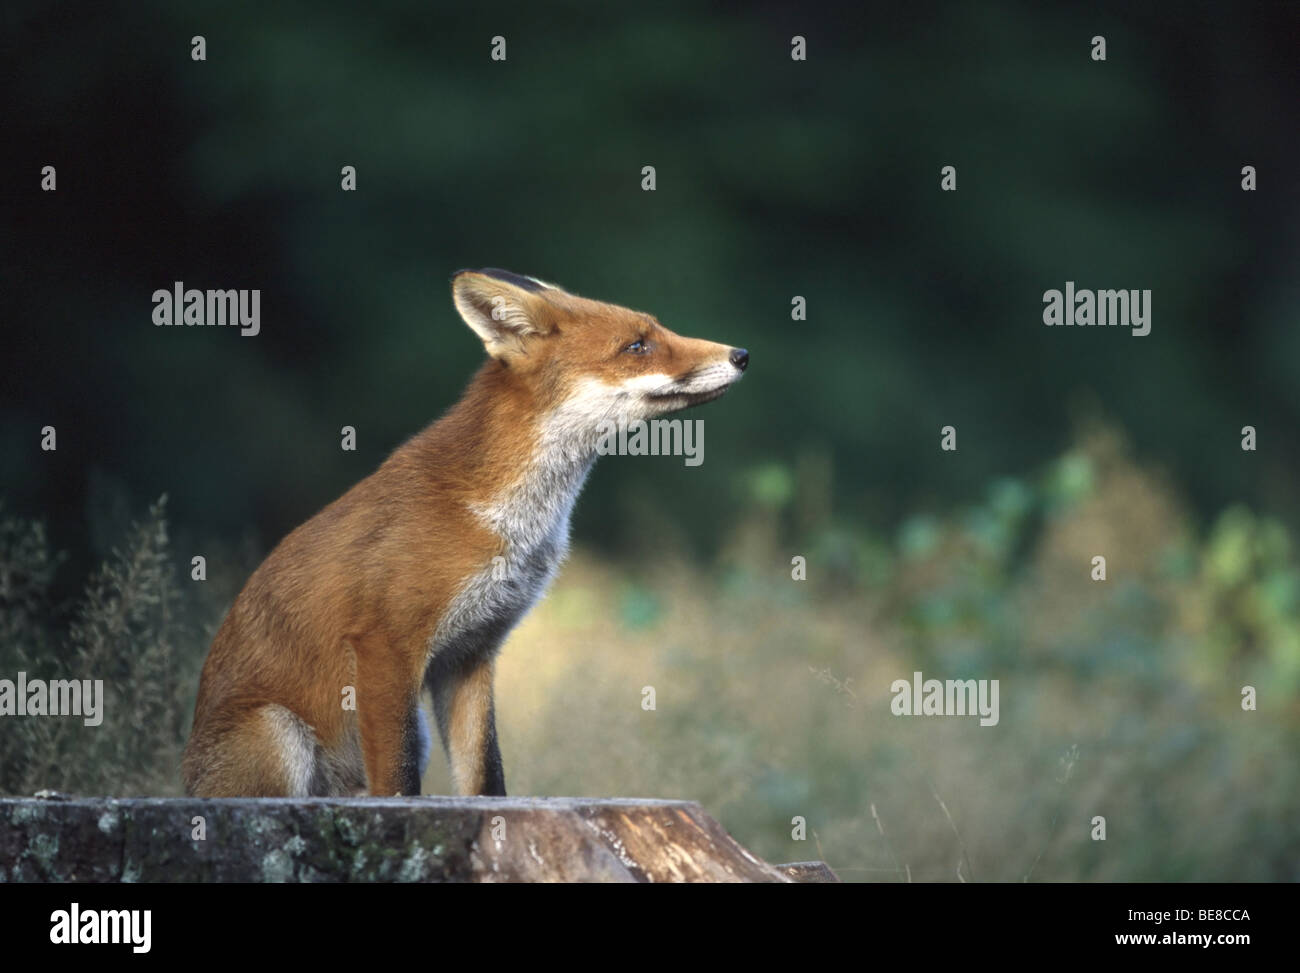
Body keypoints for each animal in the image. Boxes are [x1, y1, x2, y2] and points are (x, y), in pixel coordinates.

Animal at [181, 269, 748, 797]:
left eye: (656, 330)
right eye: (637, 345)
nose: (741, 354)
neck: (513, 520)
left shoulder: (472, 653)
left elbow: (485, 778)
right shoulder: (386, 645)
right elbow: (398, 782)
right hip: (279, 733)